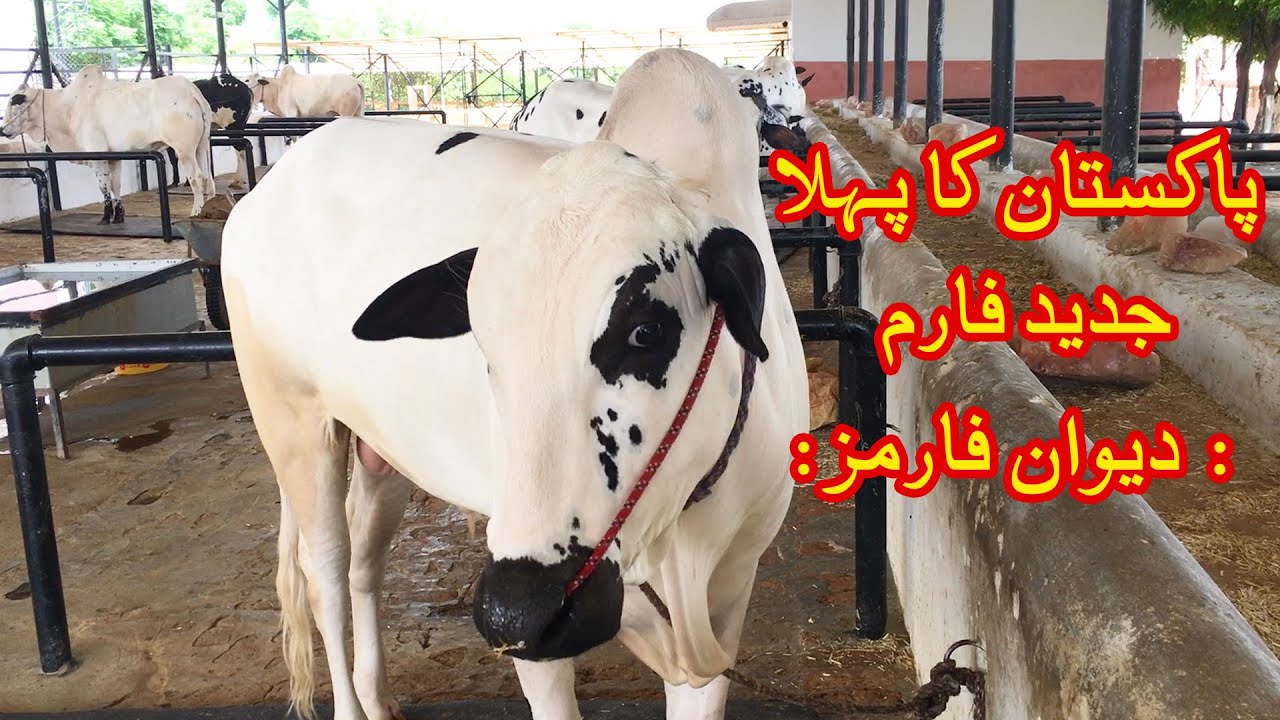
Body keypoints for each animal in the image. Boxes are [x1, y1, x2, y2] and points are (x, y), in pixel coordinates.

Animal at [0, 65, 215, 222]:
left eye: (14, 101)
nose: (3, 130)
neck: (67, 107)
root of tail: (190, 90)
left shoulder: (97, 153)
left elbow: (103, 186)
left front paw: (105, 216)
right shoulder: (115, 157)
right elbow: (116, 185)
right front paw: (119, 215)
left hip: (184, 150)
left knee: (197, 177)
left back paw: (196, 211)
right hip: (200, 147)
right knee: (207, 175)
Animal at [219, 46, 806, 720]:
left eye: (646, 331)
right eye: (482, 337)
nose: (516, 611)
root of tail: (269, 186)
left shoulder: (732, 590)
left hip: (383, 449)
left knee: (365, 560)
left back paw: (379, 695)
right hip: (293, 421)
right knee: (327, 575)